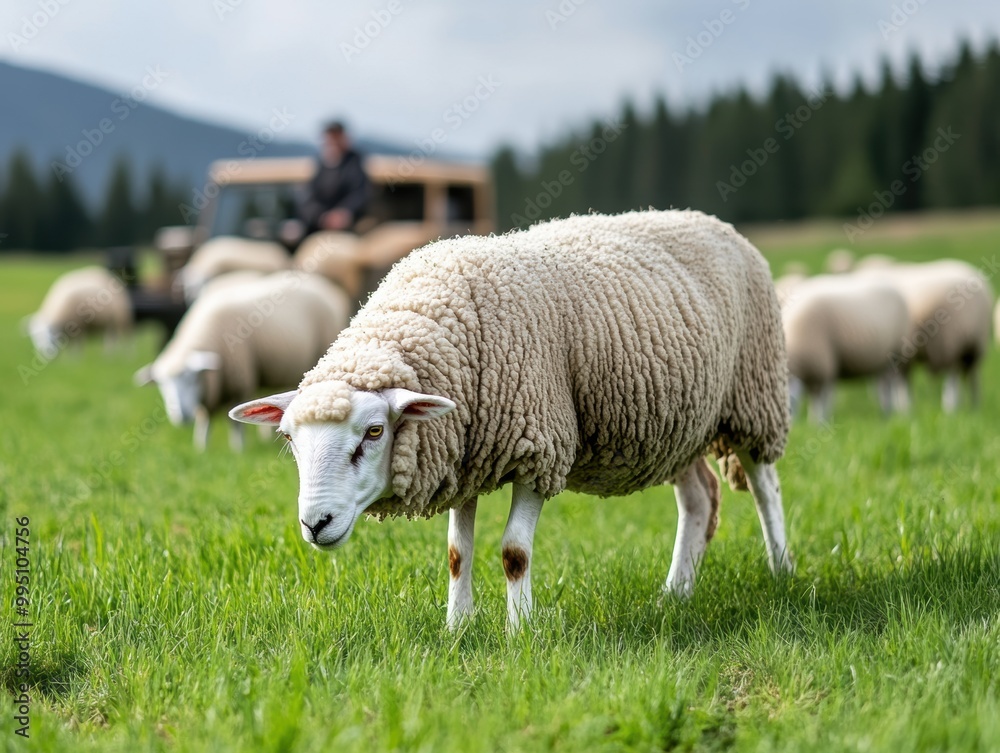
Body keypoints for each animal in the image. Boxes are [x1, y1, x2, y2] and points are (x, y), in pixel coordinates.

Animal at [136, 271, 349, 451]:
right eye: (162, 384)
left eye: (191, 379)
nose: (180, 417)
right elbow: (205, 420)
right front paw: (201, 449)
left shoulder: (238, 382)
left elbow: (235, 425)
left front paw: (238, 450)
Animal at [229, 210, 792, 631]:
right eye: (289, 439)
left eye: (374, 431)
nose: (315, 524)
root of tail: (712, 220)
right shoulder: (465, 450)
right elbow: (457, 552)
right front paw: (456, 628)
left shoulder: (538, 445)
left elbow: (514, 551)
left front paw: (519, 632)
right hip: (680, 422)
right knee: (700, 498)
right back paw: (674, 595)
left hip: (754, 397)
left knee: (765, 486)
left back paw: (781, 571)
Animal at [781, 275, 910, 422]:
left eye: (790, 403)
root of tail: (889, 283)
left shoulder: (823, 368)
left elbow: (821, 399)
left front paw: (818, 421)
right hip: (882, 360)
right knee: (884, 385)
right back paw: (885, 413)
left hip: (896, 353)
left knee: (894, 384)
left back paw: (896, 412)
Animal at [858, 260, 993, 412]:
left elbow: (901, 382)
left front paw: (903, 408)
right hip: (971, 347)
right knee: (972, 377)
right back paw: (973, 407)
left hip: (954, 342)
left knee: (955, 378)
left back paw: (952, 407)